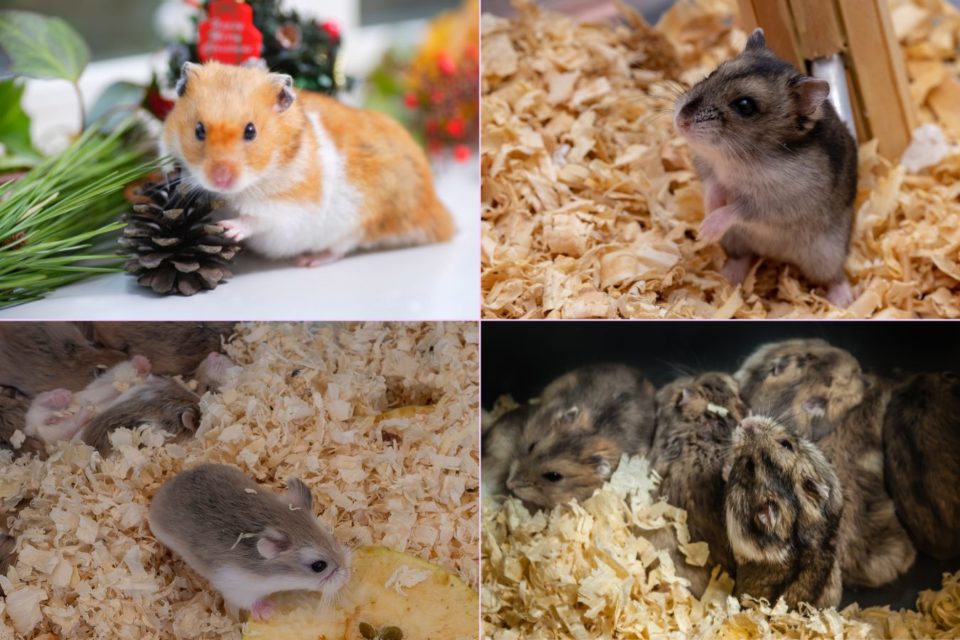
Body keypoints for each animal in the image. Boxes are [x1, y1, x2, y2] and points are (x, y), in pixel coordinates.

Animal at [149, 463, 350, 619]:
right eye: (318, 566)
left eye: (332, 536)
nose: (347, 577)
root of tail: (163, 490)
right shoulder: (236, 585)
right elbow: (249, 601)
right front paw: (268, 612)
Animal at [162, 62, 454, 266]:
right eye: (199, 130)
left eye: (251, 131)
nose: (220, 180)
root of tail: (436, 210)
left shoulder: (290, 211)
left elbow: (257, 218)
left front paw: (229, 228)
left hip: (359, 223)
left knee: (340, 248)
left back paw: (308, 260)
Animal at [674, 29, 858, 306]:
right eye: (713, 73)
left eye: (745, 106)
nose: (680, 121)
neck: (736, 157)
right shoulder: (709, 170)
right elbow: (714, 188)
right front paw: (706, 216)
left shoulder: (774, 204)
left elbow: (737, 209)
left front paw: (706, 230)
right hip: (736, 239)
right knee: (743, 256)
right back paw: (729, 276)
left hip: (826, 254)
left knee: (834, 276)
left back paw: (842, 301)